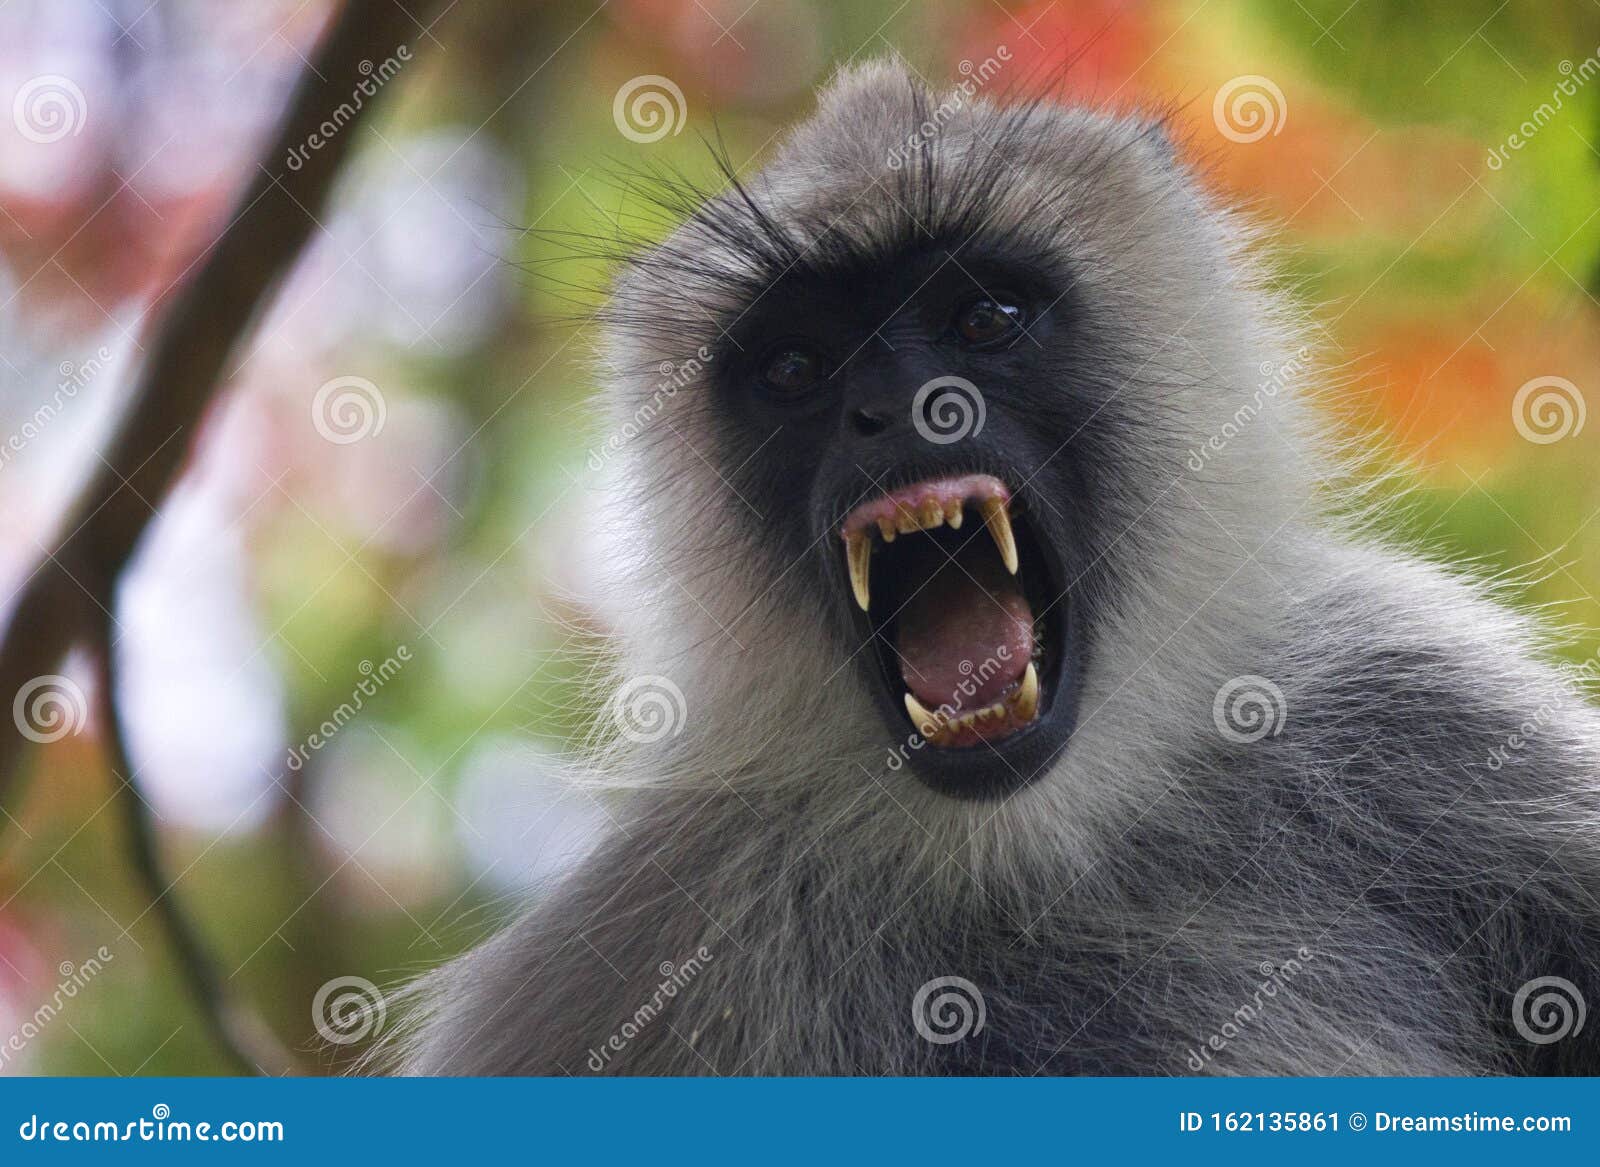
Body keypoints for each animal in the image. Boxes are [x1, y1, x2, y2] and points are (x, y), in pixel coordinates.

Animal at [385, 59, 1600, 1076]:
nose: (891, 409)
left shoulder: (1421, 706)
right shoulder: (629, 945)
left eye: (985, 317)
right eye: (796, 367)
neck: (1024, 841)